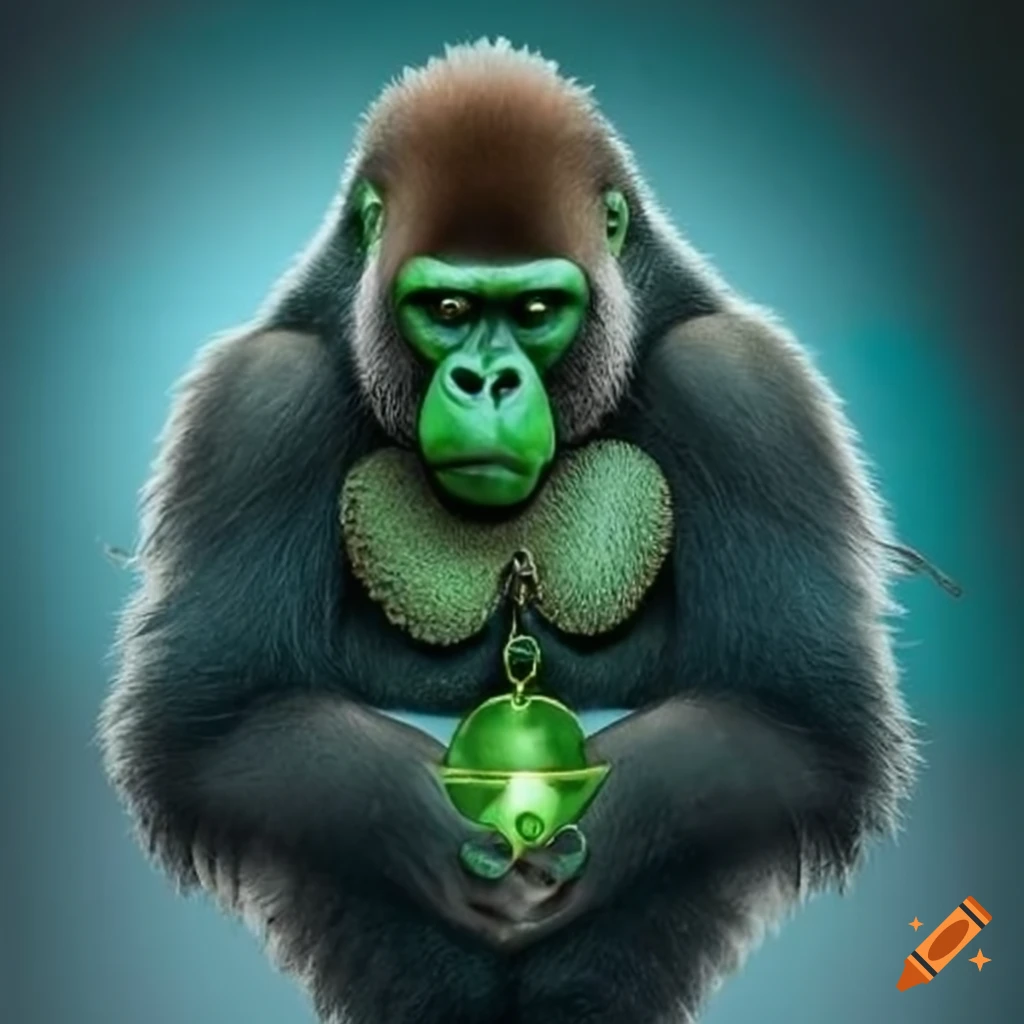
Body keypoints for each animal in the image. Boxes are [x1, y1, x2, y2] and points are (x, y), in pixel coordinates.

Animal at [100, 39, 920, 1024]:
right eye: (447, 310)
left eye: (533, 312)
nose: (484, 382)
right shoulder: (259, 406)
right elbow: (218, 727)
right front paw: (443, 834)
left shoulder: (743, 390)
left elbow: (792, 722)